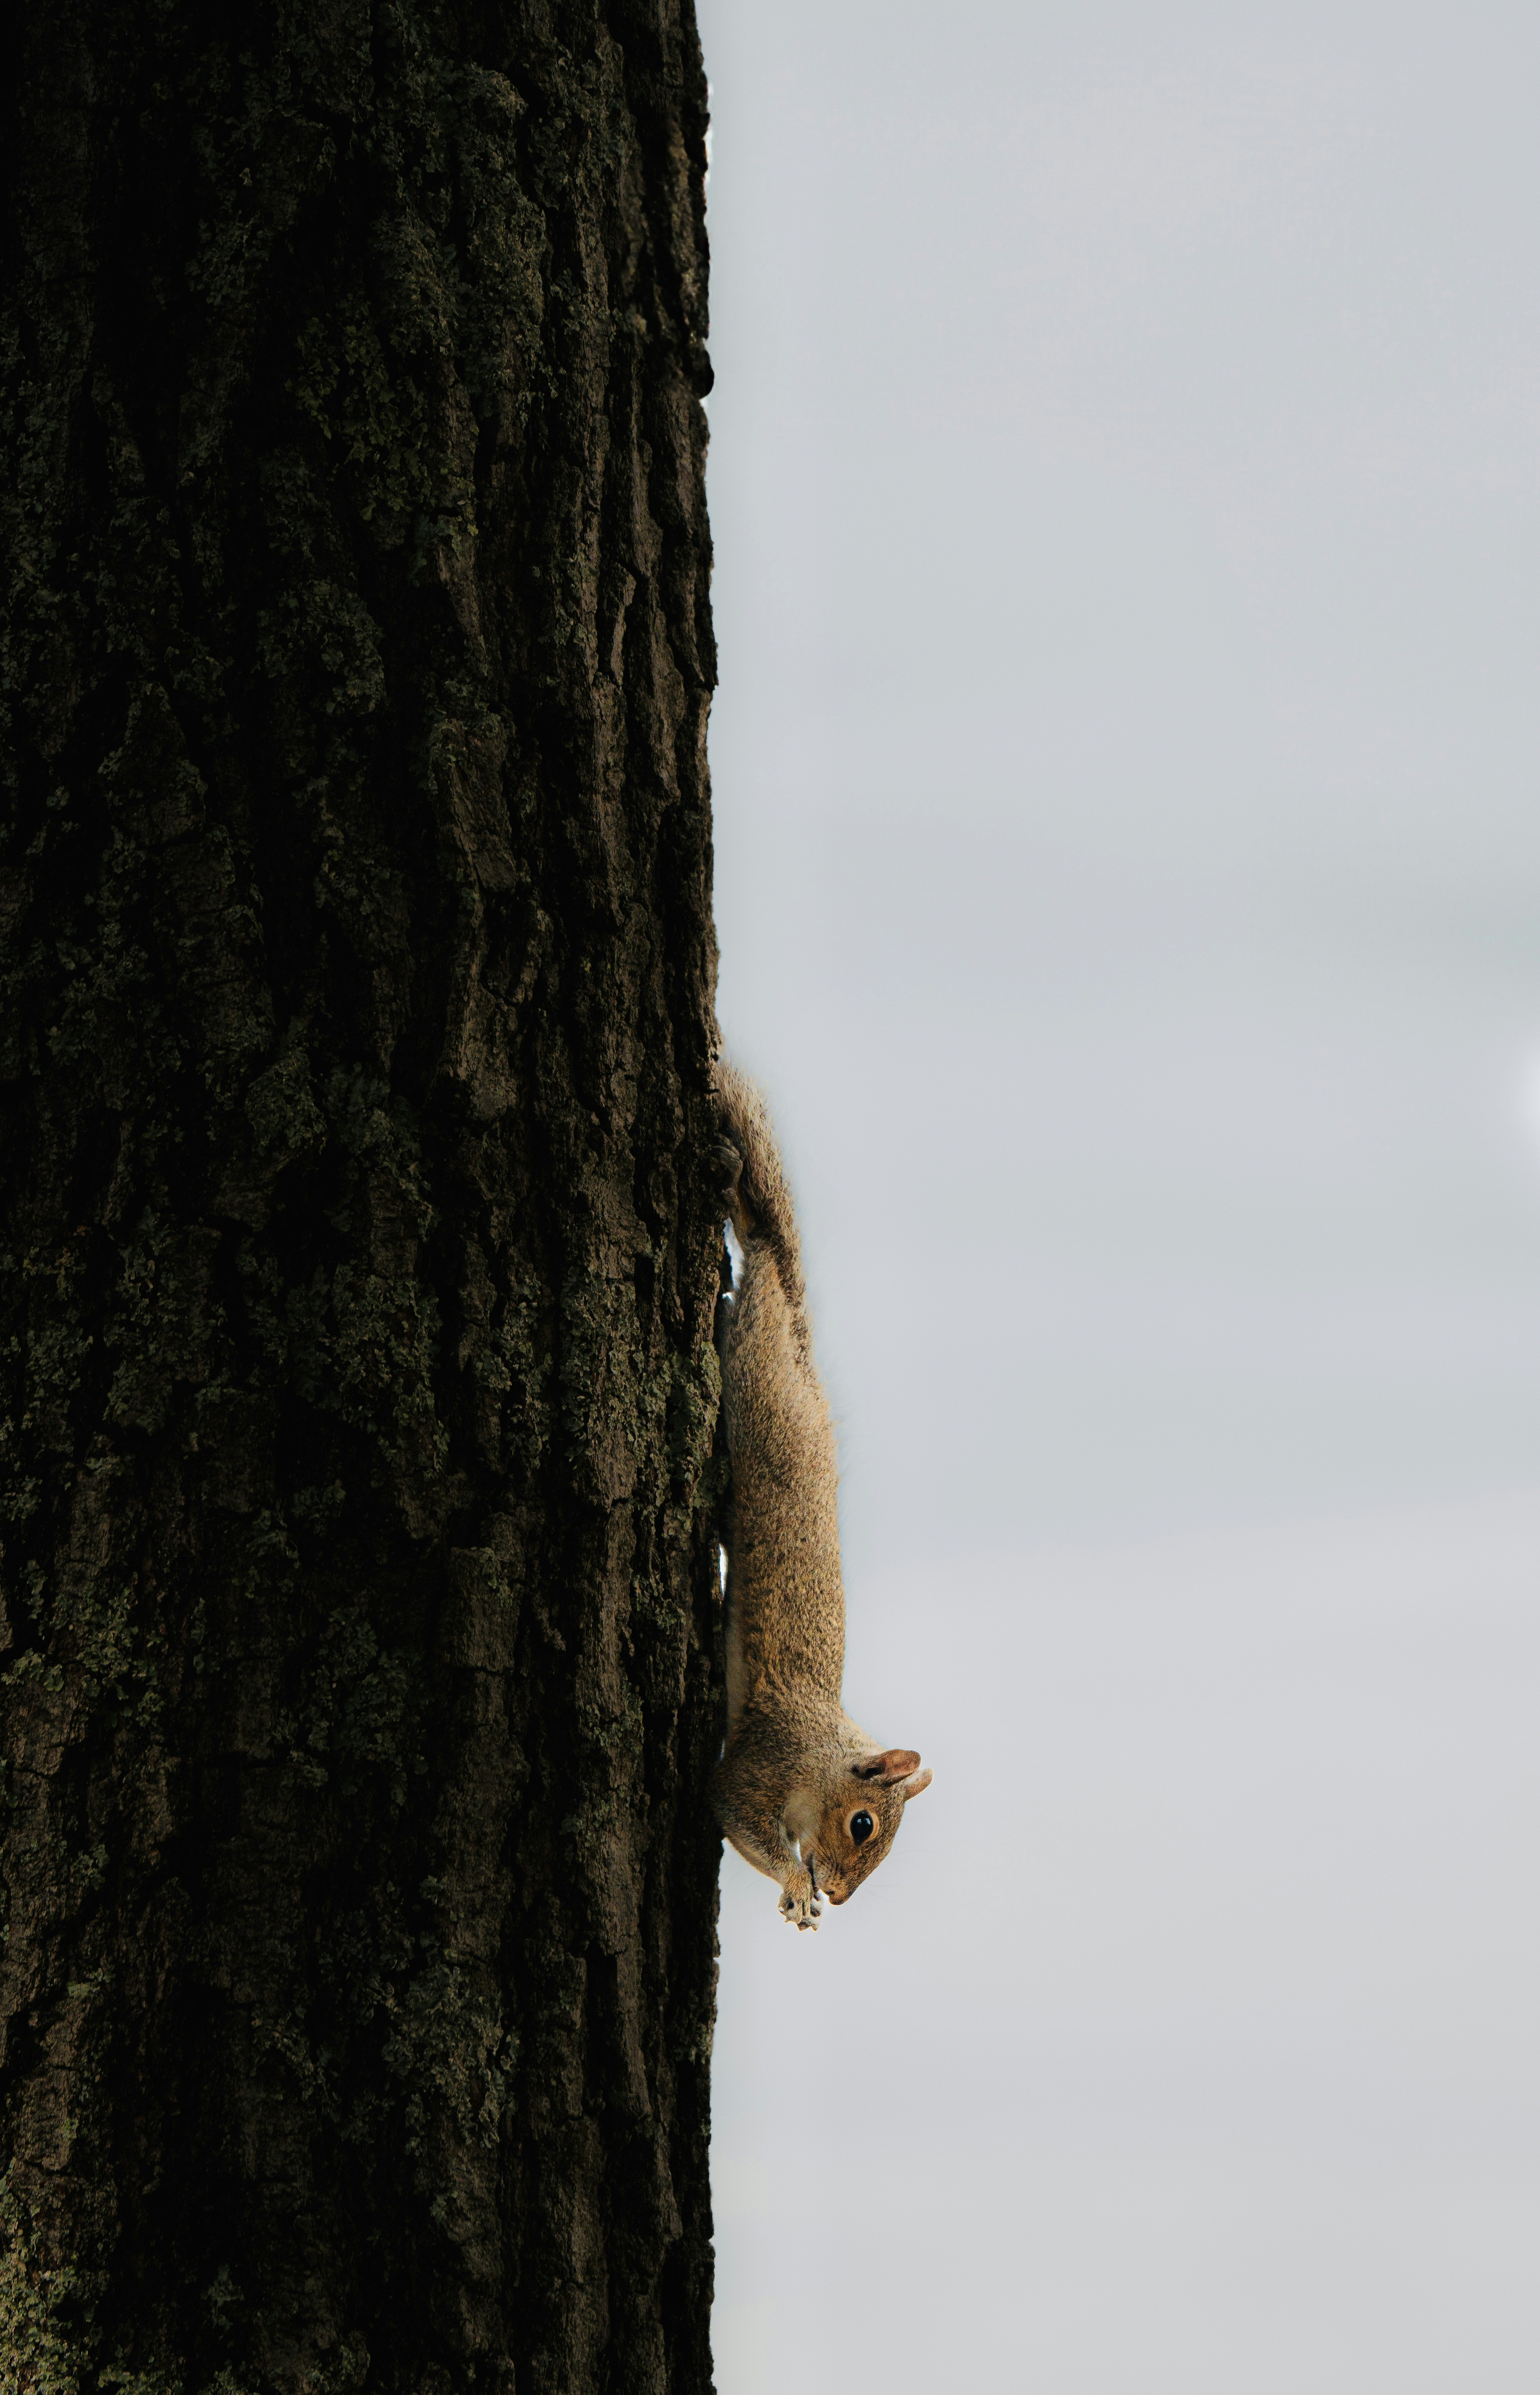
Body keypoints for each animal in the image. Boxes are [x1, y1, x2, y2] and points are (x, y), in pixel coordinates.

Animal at [711, 1060, 932, 1931]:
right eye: (864, 1823)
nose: (839, 1894)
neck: (824, 1744)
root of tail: (798, 1339)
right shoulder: (757, 1763)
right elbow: (738, 1820)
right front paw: (795, 1883)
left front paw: (794, 1894)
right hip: (755, 1385)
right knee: (752, 1278)